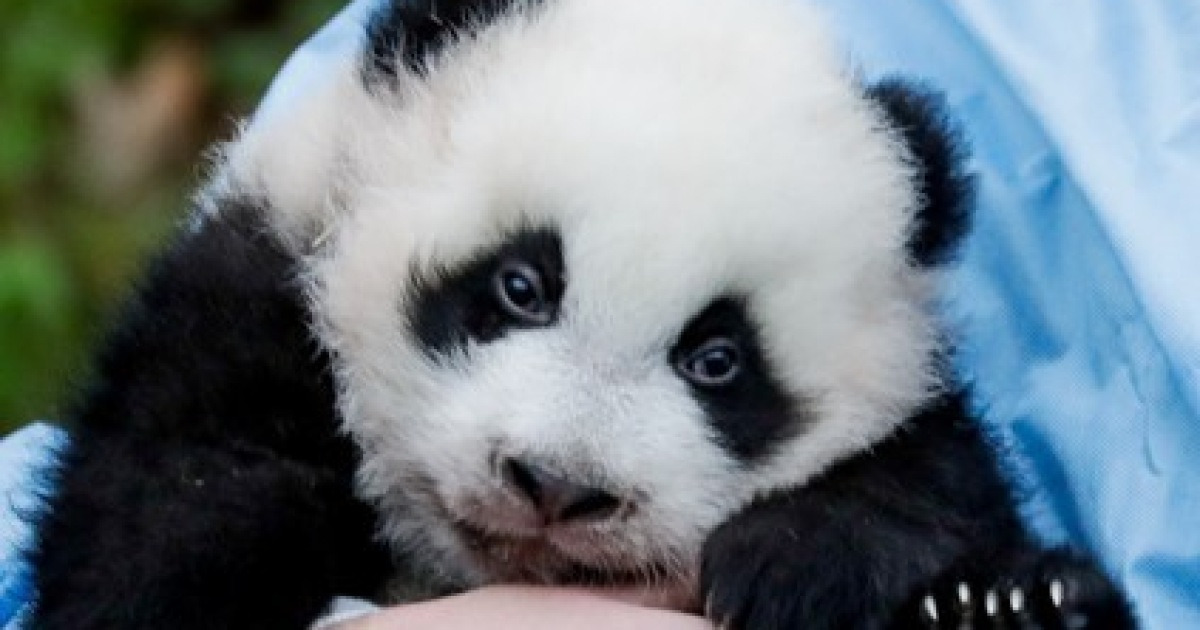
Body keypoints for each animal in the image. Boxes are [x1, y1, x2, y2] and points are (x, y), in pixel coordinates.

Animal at [29, 0, 1135, 628]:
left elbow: (923, 478)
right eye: (521, 285)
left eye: (717, 360)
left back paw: (1018, 610)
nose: (556, 486)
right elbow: (179, 491)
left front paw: (808, 558)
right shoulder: (253, 288)